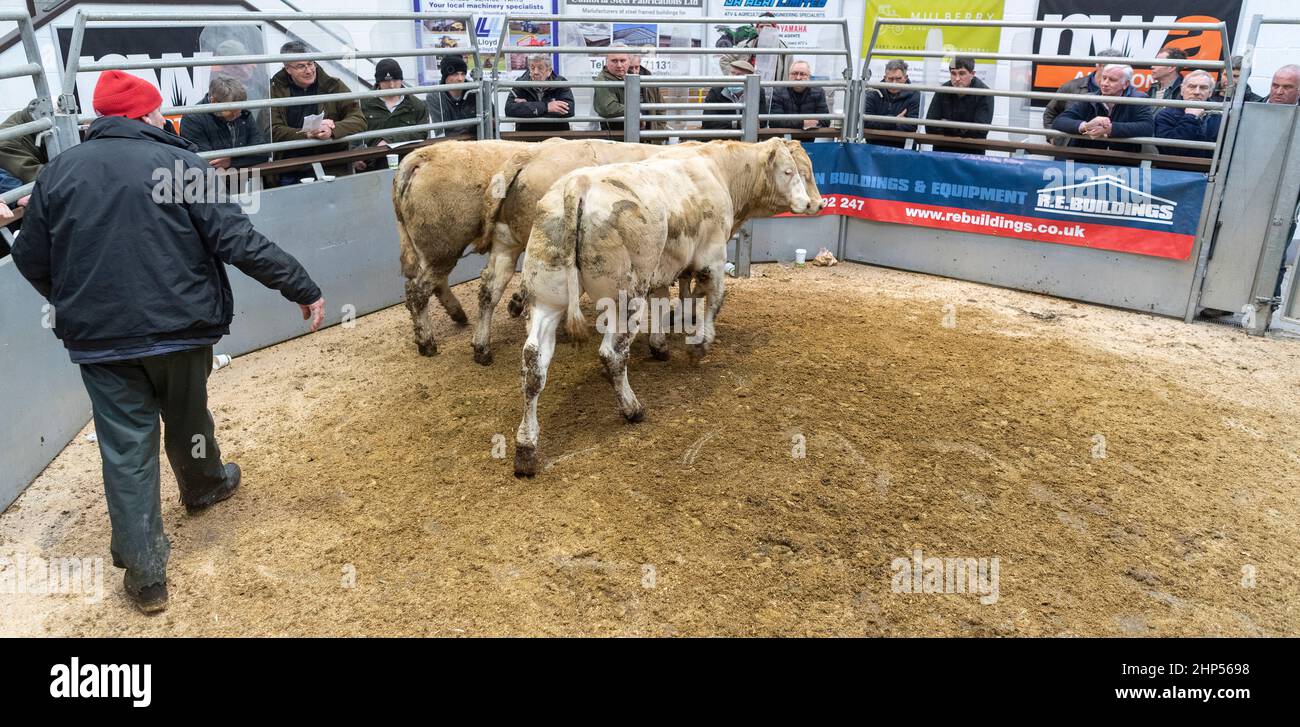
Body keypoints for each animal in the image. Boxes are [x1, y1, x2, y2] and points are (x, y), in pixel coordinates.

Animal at [512, 138, 825, 476]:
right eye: (790, 171)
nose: (816, 204)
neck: (717, 169)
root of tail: (578, 184)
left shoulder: (667, 265)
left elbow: (664, 302)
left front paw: (661, 344)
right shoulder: (711, 258)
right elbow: (714, 298)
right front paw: (700, 343)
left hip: (547, 297)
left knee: (534, 363)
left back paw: (526, 447)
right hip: (625, 298)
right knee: (612, 353)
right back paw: (632, 408)